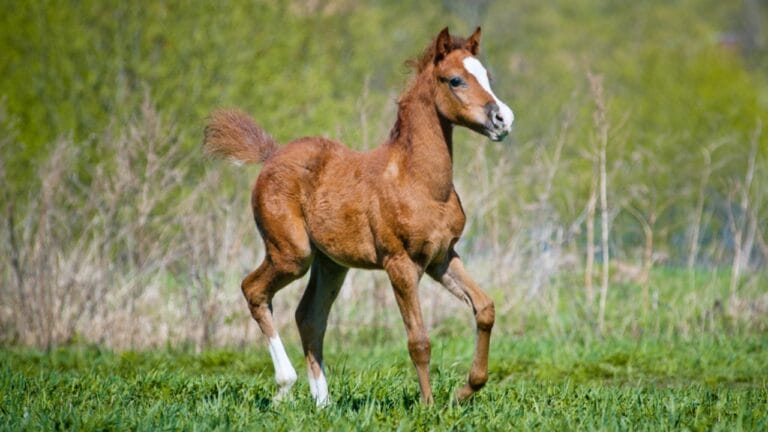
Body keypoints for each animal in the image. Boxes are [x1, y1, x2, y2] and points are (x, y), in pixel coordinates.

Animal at [203, 26, 514, 406]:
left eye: (487, 76)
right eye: (456, 80)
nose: (503, 120)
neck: (419, 181)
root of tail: (271, 155)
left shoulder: (442, 258)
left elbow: (485, 308)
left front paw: (464, 390)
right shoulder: (399, 264)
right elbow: (419, 341)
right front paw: (429, 407)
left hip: (331, 264)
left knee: (309, 316)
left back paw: (323, 404)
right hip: (292, 254)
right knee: (254, 290)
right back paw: (286, 385)